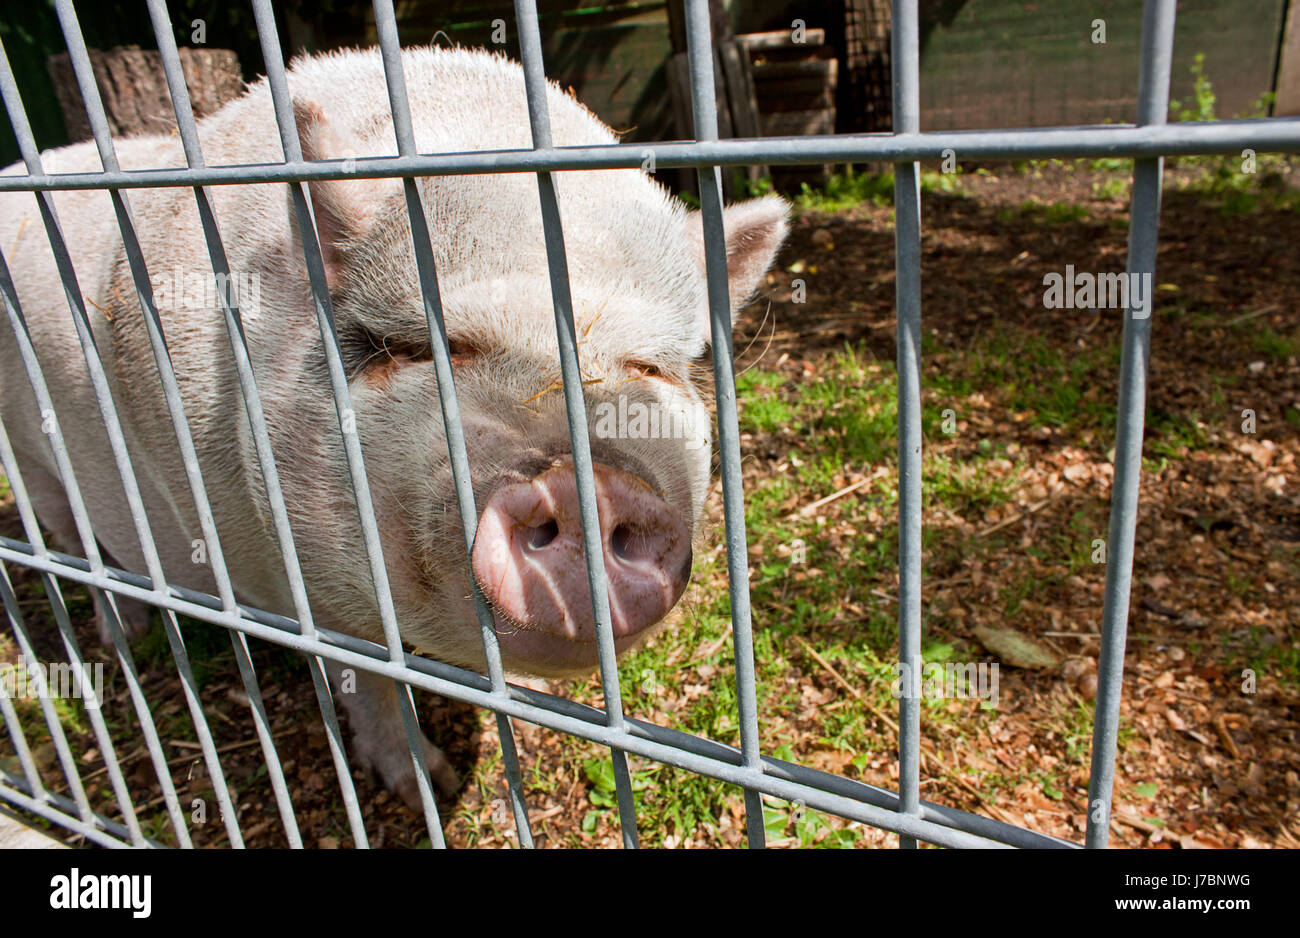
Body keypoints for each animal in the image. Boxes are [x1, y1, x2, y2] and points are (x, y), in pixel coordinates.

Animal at [0, 46, 787, 806]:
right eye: (429, 347)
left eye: (648, 368)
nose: (586, 486)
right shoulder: (299, 590)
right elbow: (371, 684)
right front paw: (427, 789)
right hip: (31, 460)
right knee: (72, 541)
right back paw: (122, 637)